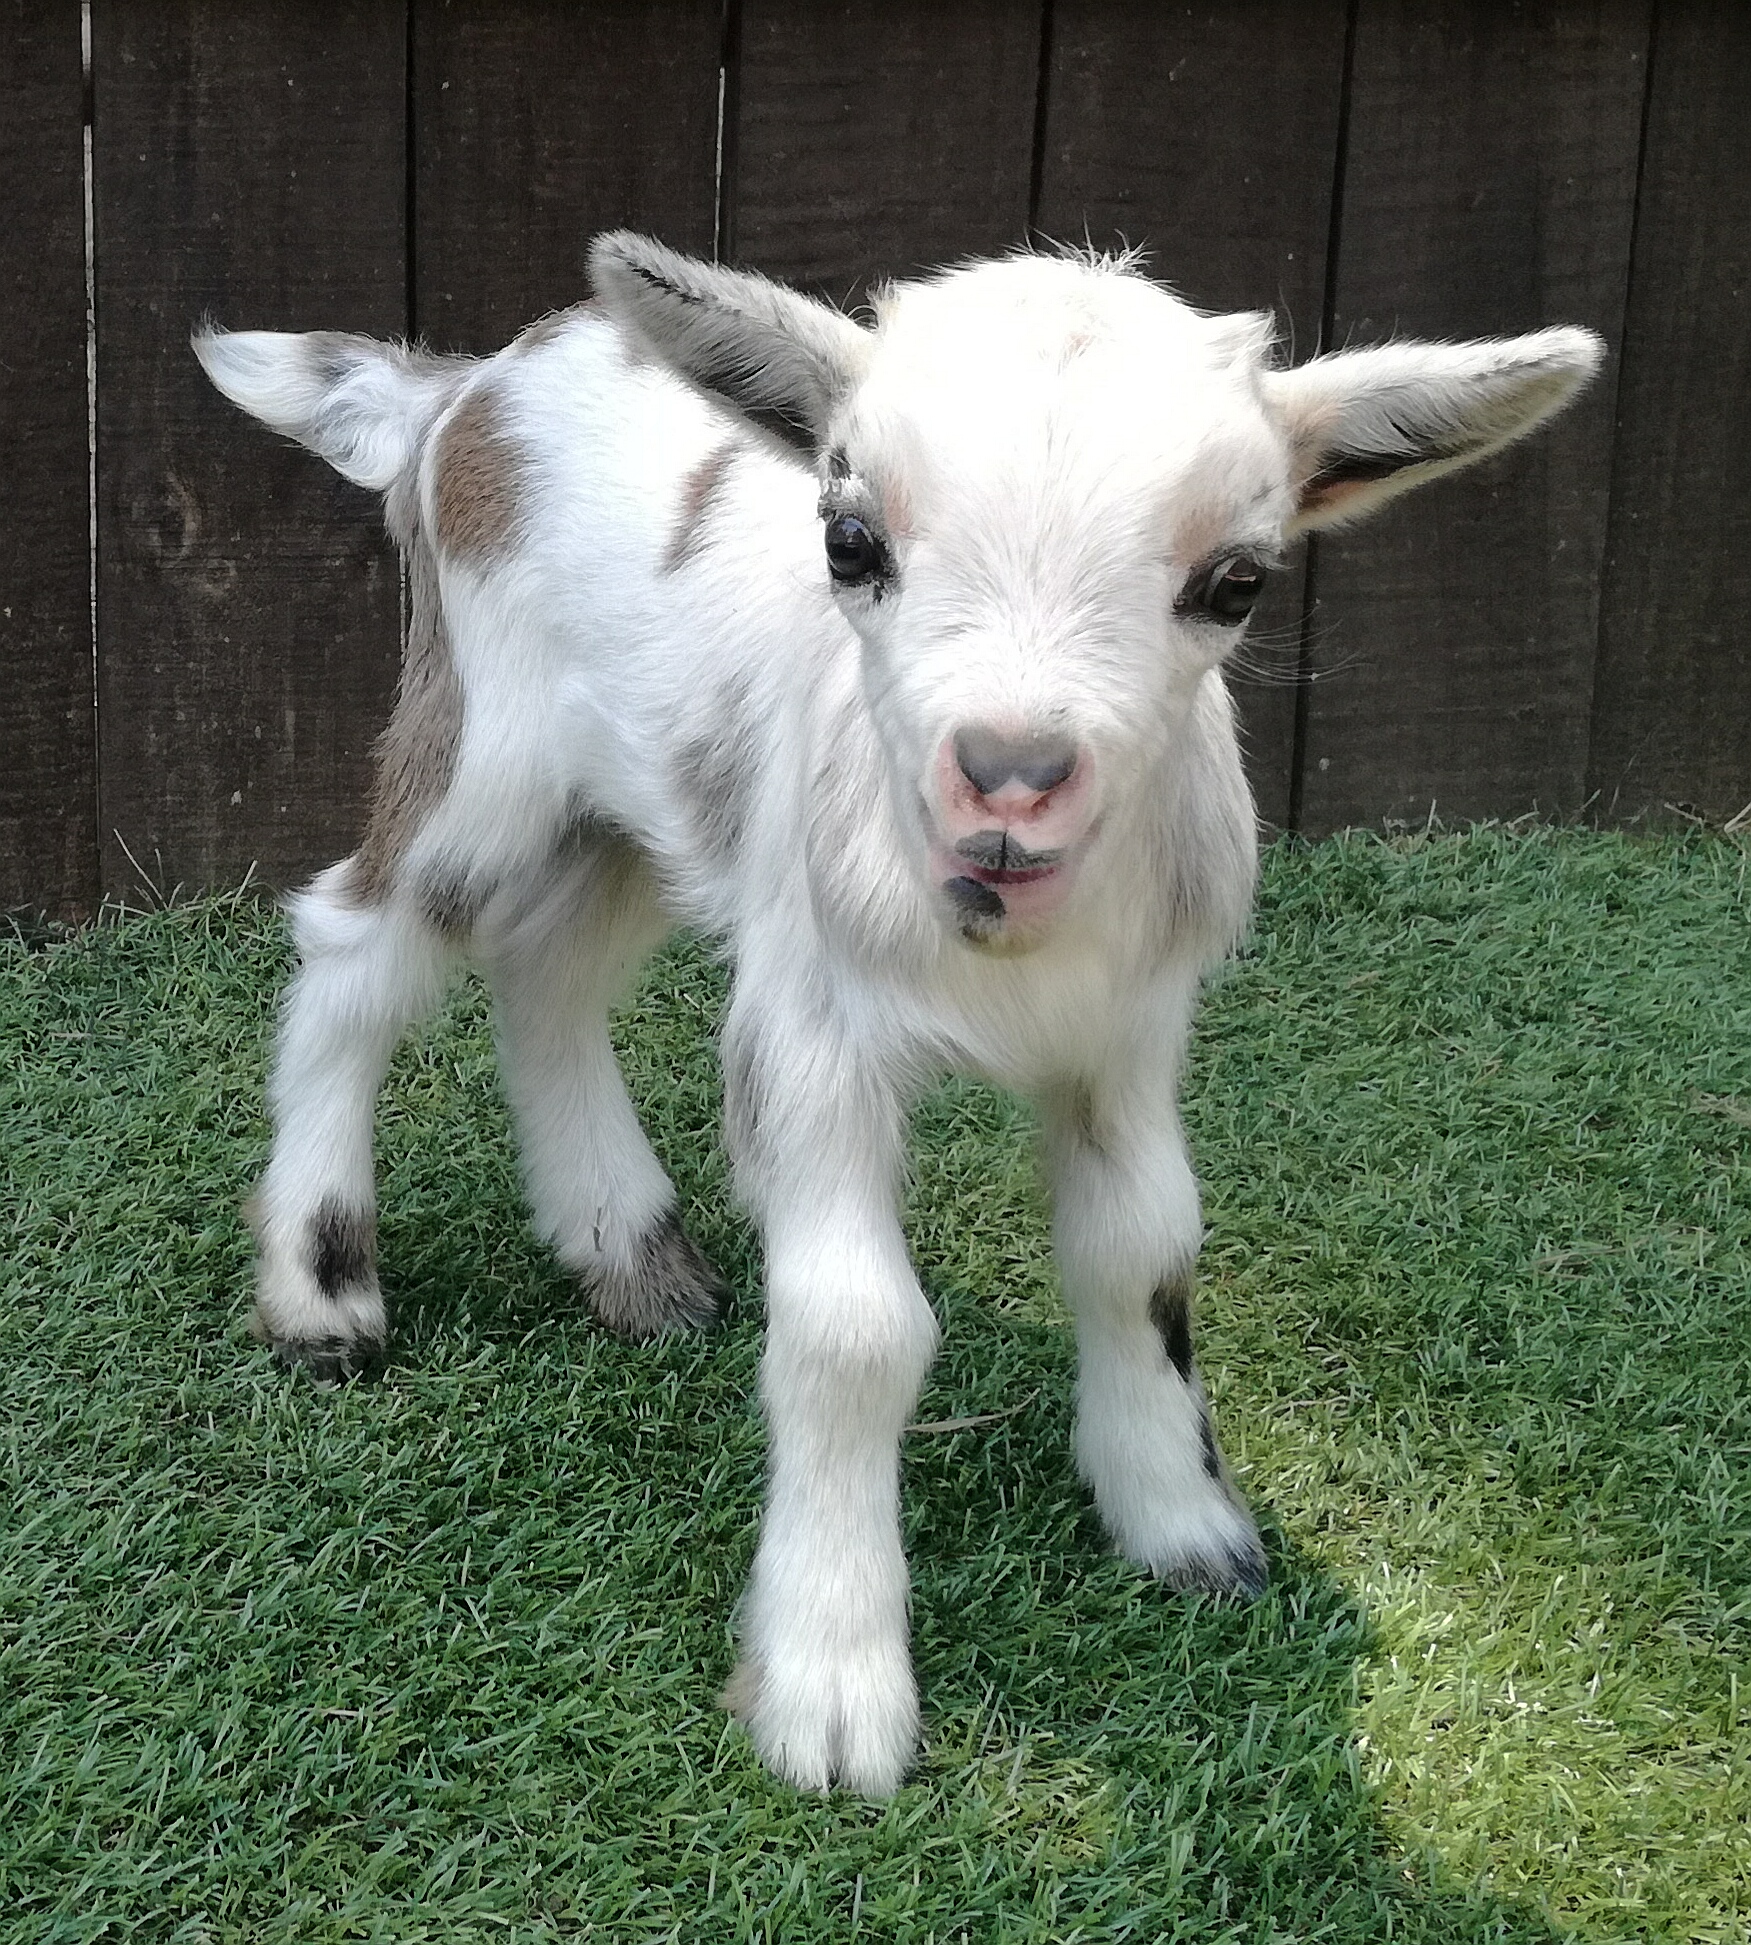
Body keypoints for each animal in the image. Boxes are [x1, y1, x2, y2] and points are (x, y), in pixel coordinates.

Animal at [195, 235, 1600, 1793]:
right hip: (486, 748)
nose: (1007, 782)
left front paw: (1181, 1524)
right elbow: (856, 1330)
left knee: (547, 966)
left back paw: (629, 1255)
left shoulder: (1126, 1038)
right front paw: (829, 1686)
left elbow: (1142, 1253)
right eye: (850, 541)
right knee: (358, 947)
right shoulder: (811, 1028)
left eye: (1234, 580)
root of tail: (460, 394)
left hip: (641, 805)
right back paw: (322, 1293)